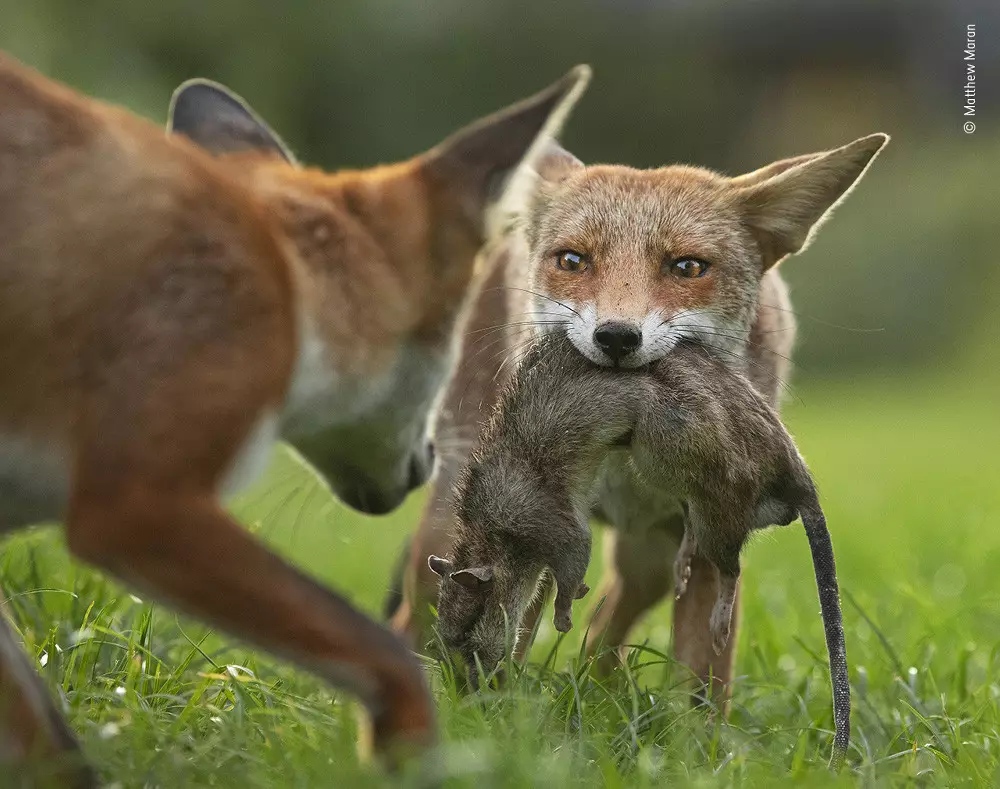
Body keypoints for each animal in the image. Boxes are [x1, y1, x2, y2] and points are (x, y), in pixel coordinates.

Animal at [0, 50, 588, 780]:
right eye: (447, 356)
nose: (428, 466)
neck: (290, 280)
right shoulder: (137, 507)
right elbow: (390, 657)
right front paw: (414, 757)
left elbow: (53, 746)